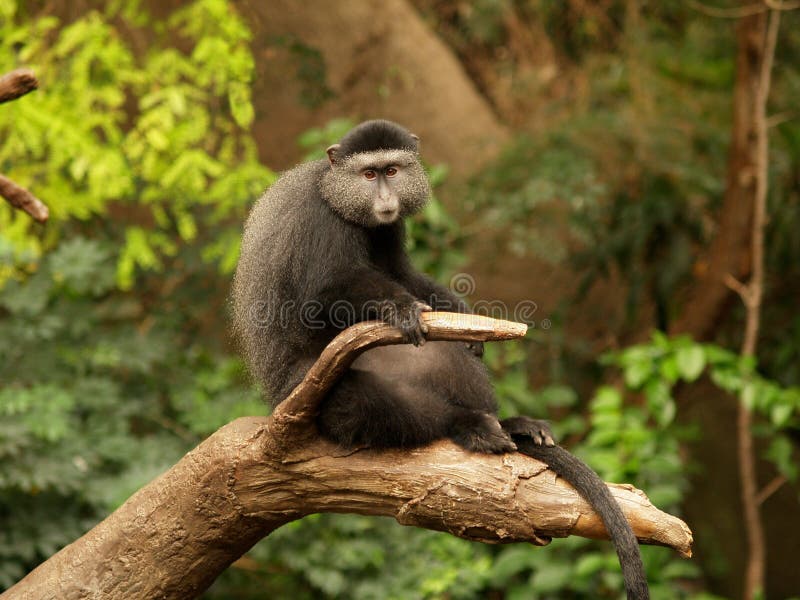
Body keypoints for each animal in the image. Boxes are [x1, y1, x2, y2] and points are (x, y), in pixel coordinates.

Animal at [232, 120, 649, 599]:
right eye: (369, 175)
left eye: (392, 171)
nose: (385, 199)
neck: (336, 193)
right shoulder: (321, 225)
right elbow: (318, 297)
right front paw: (398, 307)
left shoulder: (387, 230)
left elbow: (403, 274)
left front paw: (458, 310)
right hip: (308, 389)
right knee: (368, 403)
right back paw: (466, 426)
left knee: (445, 353)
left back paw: (508, 425)